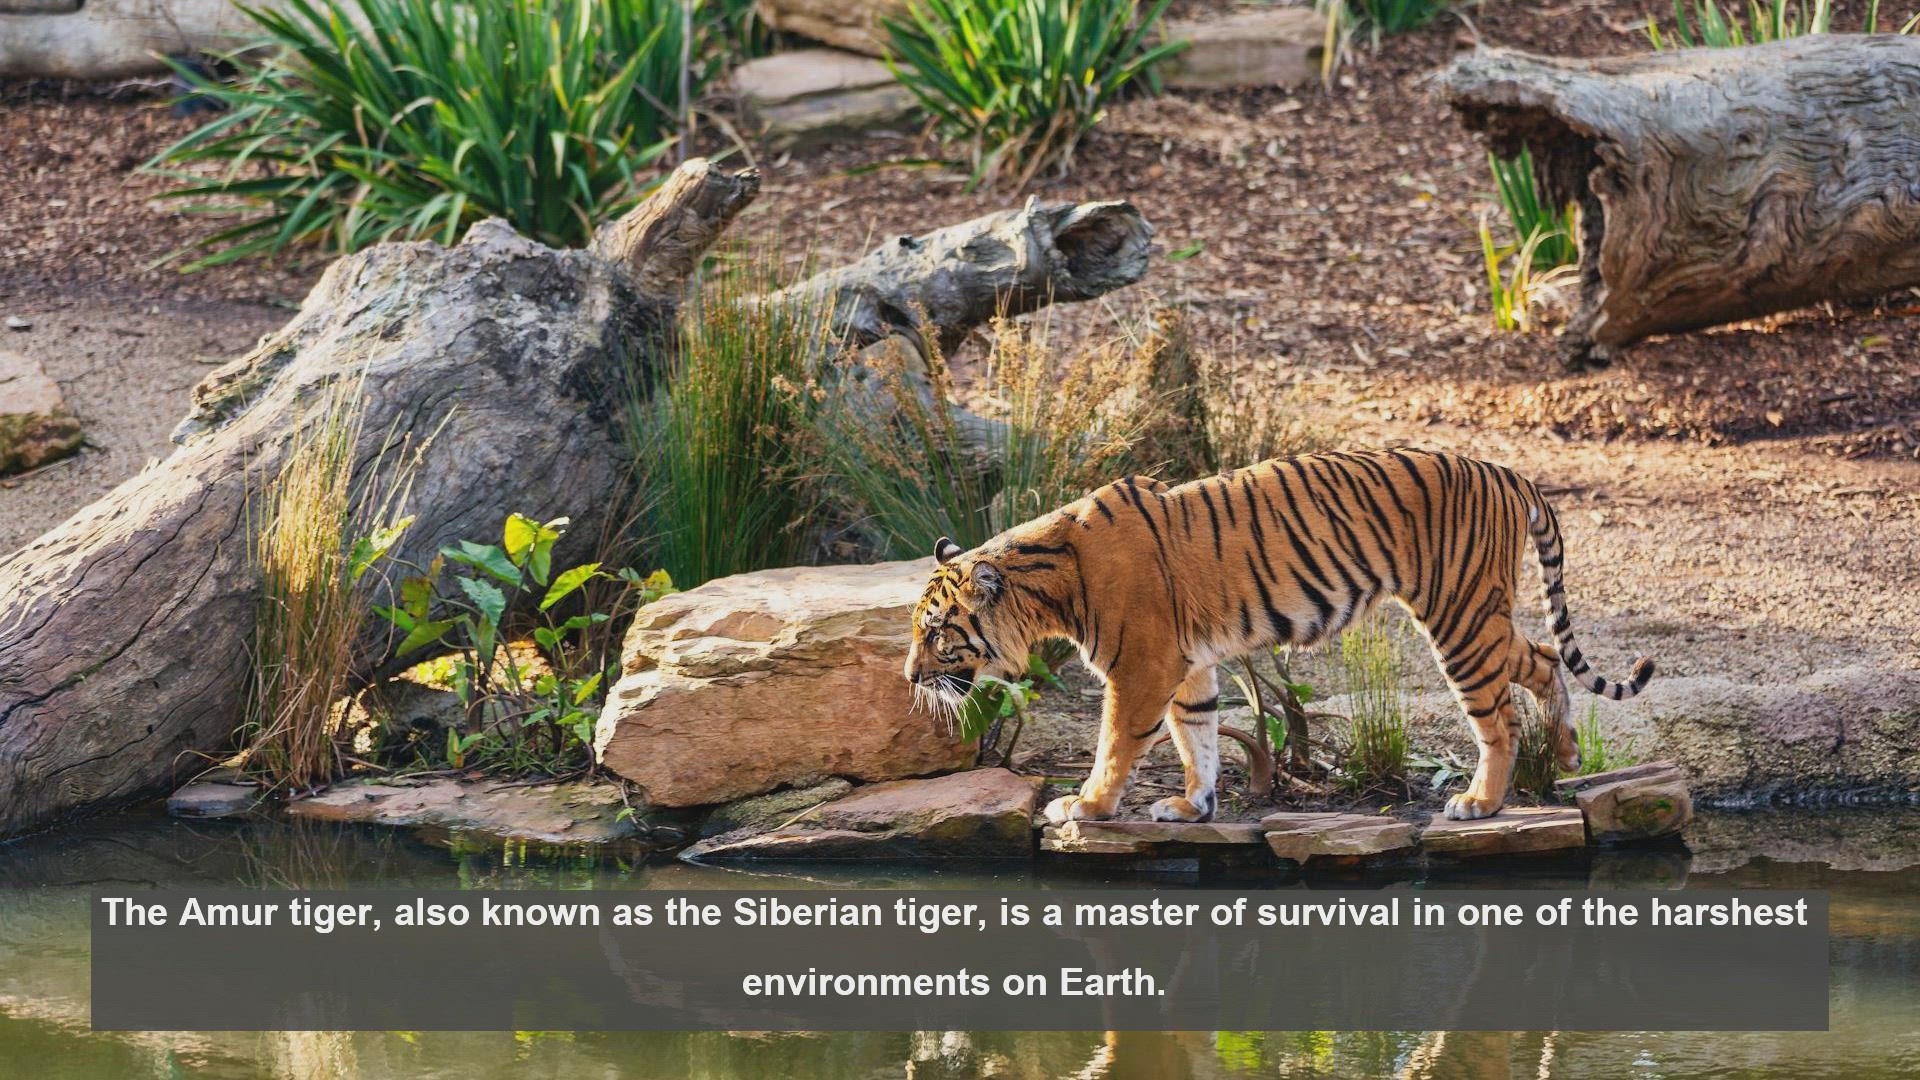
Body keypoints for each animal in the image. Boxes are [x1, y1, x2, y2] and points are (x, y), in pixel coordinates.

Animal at [903, 448, 1654, 824]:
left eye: (938, 633)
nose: (909, 677)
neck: (1049, 581)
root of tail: (1505, 469)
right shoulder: (1187, 667)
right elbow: (1198, 738)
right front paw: (1193, 804)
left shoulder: (1141, 668)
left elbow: (1115, 745)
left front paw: (1085, 806)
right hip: (1481, 615)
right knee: (1546, 657)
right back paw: (1565, 751)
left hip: (1459, 616)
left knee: (1497, 716)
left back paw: (1480, 801)